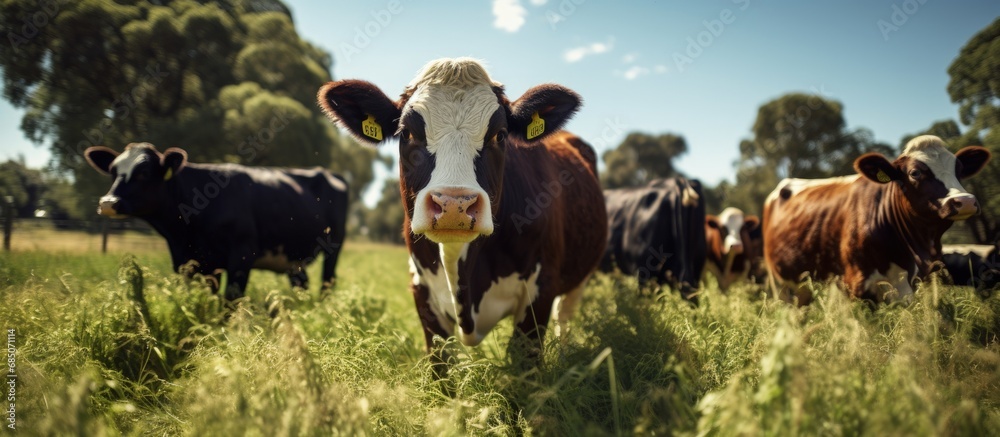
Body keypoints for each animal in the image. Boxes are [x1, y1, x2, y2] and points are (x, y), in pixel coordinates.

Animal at [84, 143, 348, 301]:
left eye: (144, 172)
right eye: (113, 171)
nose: (108, 202)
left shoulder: (242, 255)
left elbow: (230, 301)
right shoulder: (191, 261)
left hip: (334, 246)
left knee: (327, 281)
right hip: (294, 258)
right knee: (301, 283)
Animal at [316, 58, 607, 365]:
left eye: (500, 135)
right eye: (406, 133)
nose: (454, 205)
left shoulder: (541, 290)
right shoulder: (422, 290)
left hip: (579, 279)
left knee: (564, 318)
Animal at [763, 135, 991, 304]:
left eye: (959, 170)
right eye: (915, 173)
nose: (965, 200)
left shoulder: (916, 283)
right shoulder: (857, 286)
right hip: (780, 283)